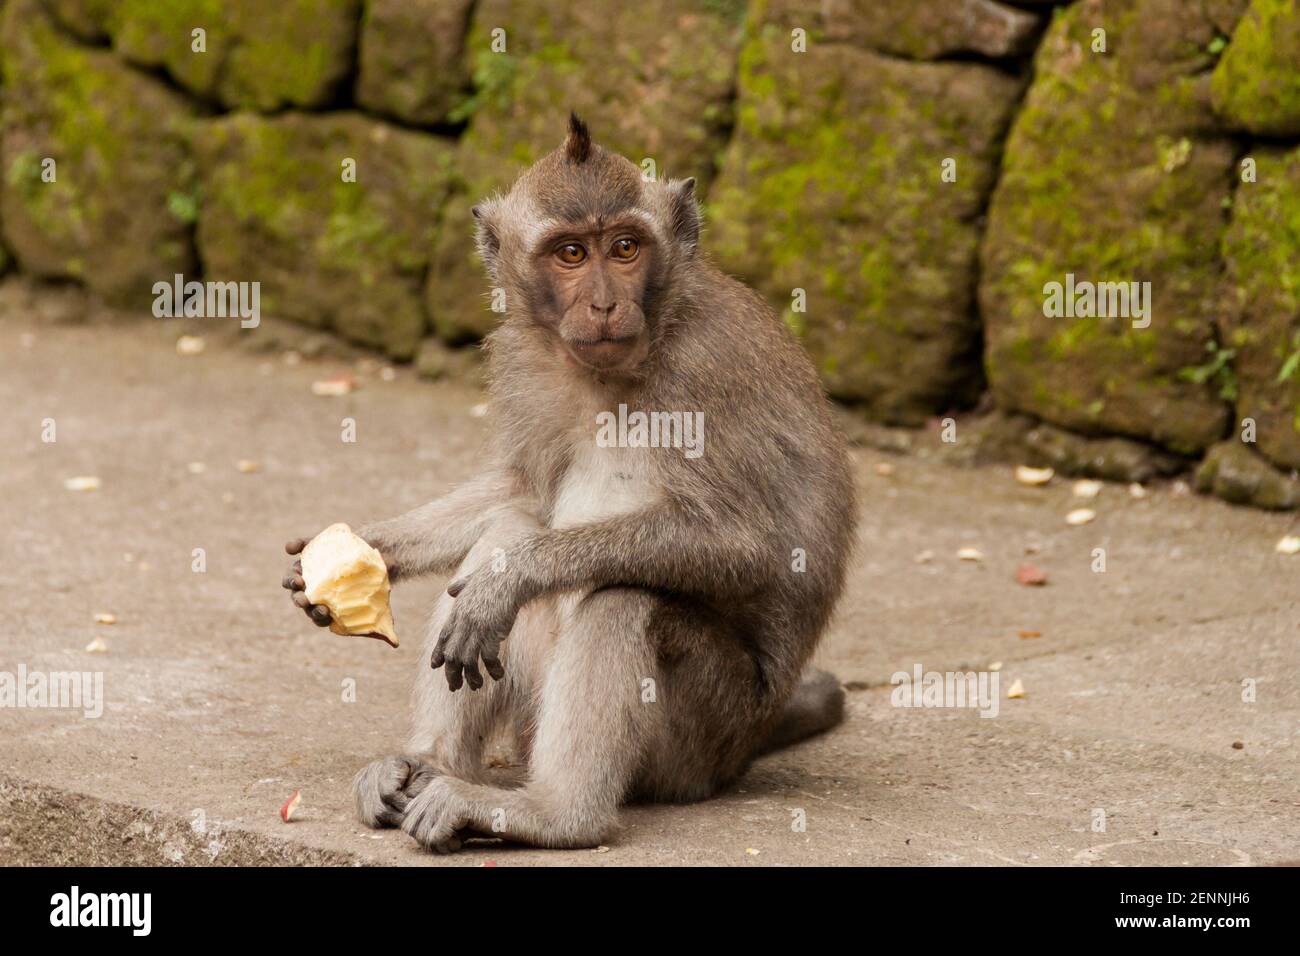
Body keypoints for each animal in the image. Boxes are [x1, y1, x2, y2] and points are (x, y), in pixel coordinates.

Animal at [283, 114, 856, 852]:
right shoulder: (525, 363)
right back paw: (429, 762)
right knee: (511, 529)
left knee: (621, 598)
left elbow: (746, 544)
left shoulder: (709, 372)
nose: (606, 303)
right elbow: (523, 491)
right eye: (571, 254)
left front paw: (509, 581)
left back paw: (555, 813)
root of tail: (751, 741)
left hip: (702, 736)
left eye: (625, 247)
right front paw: (378, 548)